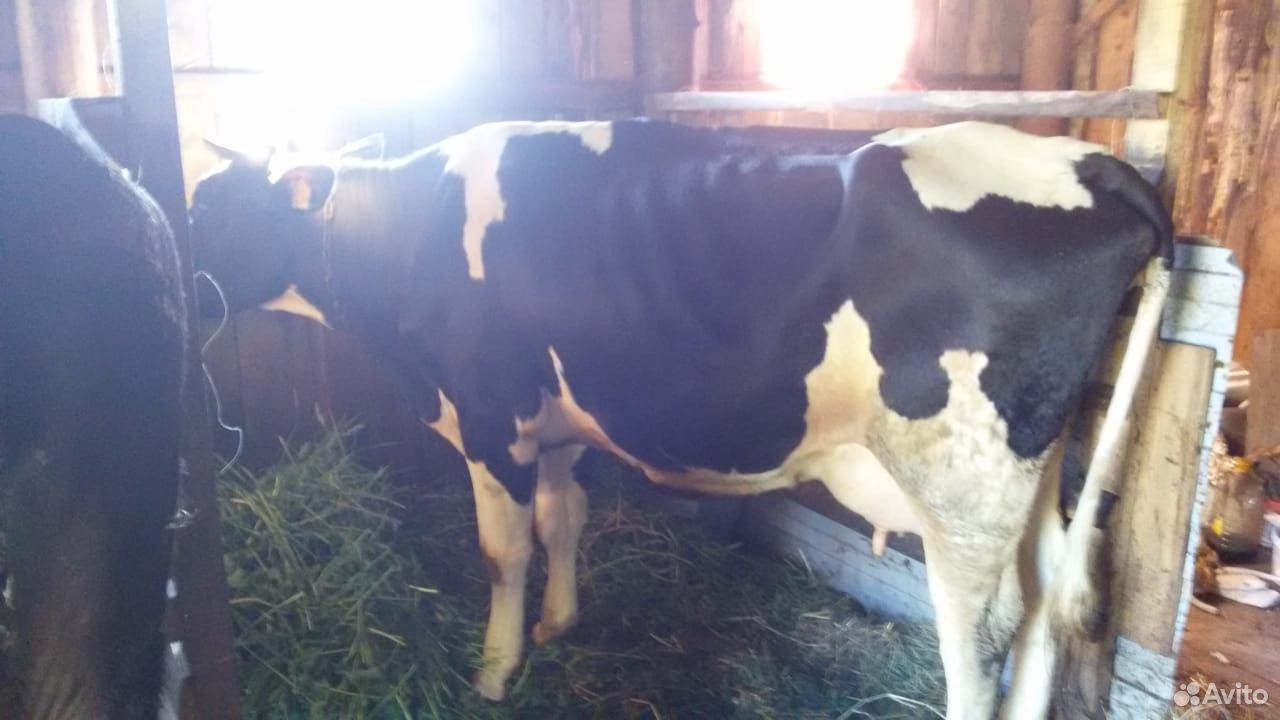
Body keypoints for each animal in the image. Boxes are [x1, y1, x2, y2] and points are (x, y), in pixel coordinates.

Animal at [189, 118, 1171, 719]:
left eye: (212, 209)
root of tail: (1086, 163)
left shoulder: (491, 417)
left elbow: (504, 550)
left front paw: (497, 669)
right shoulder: (556, 422)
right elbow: (563, 519)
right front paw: (557, 626)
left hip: (962, 477)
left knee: (981, 629)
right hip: (1031, 470)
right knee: (1043, 607)